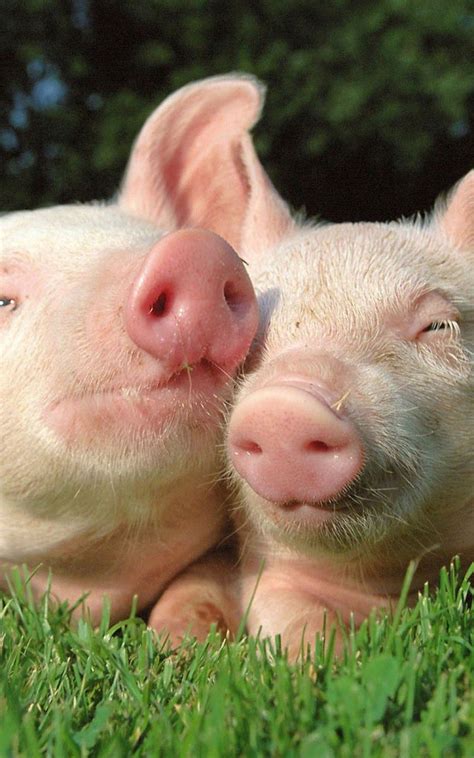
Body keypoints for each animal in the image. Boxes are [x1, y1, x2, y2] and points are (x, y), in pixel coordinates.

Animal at [156, 78, 474, 657]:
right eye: (248, 340)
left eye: (438, 326)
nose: (285, 407)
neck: (386, 585)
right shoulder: (268, 579)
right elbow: (297, 626)